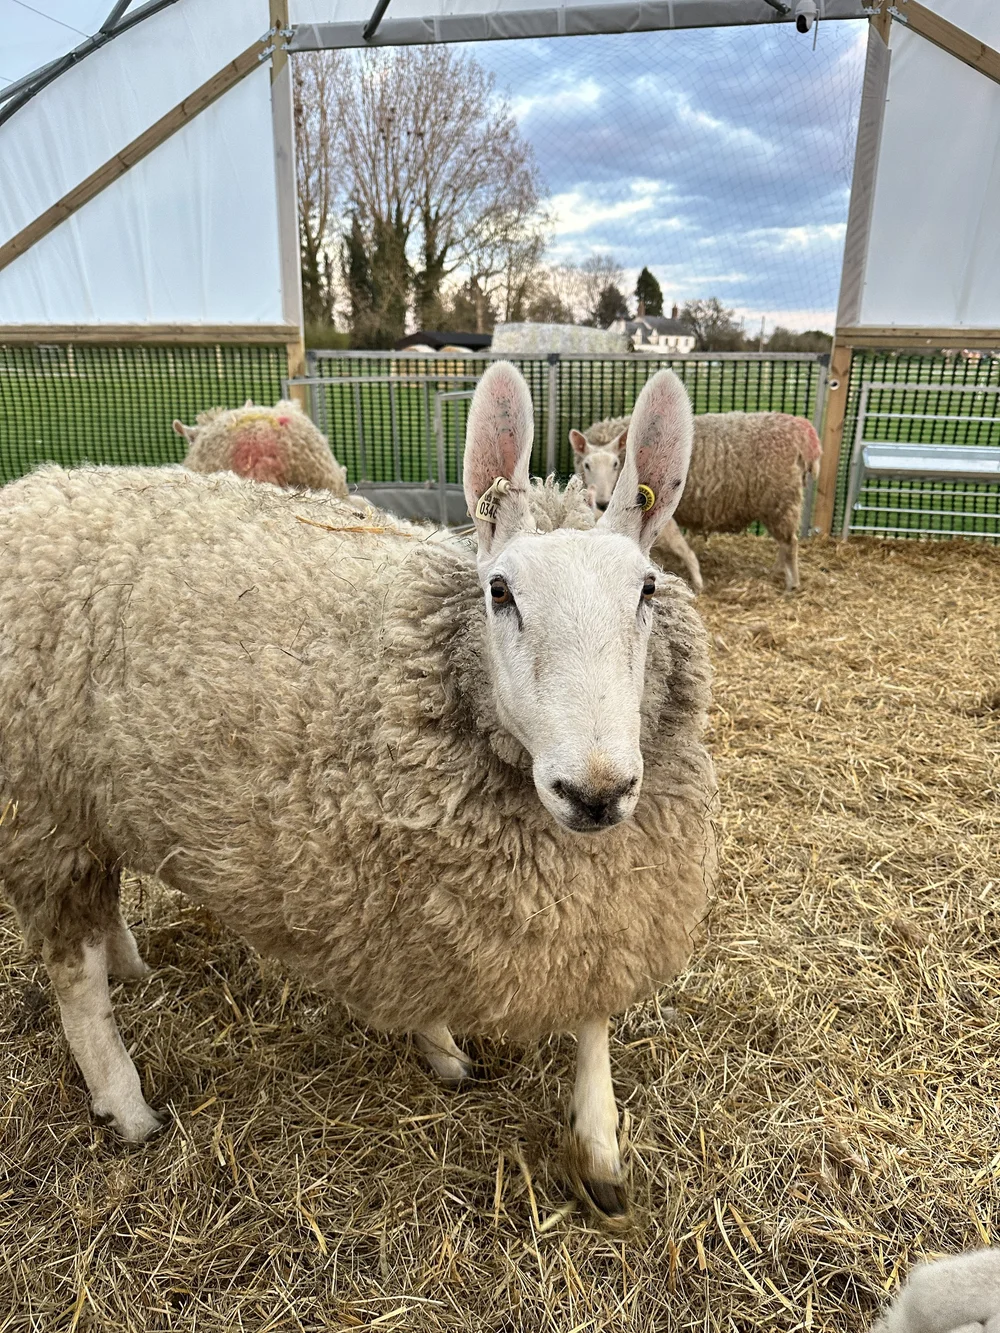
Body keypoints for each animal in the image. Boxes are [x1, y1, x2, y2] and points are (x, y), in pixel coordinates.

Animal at [570, 409, 823, 591]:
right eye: (587, 464)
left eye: (615, 464)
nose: (602, 502)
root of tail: (804, 433)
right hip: (778, 504)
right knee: (784, 542)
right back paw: (777, 570)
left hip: (782, 498)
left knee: (790, 542)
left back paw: (792, 582)